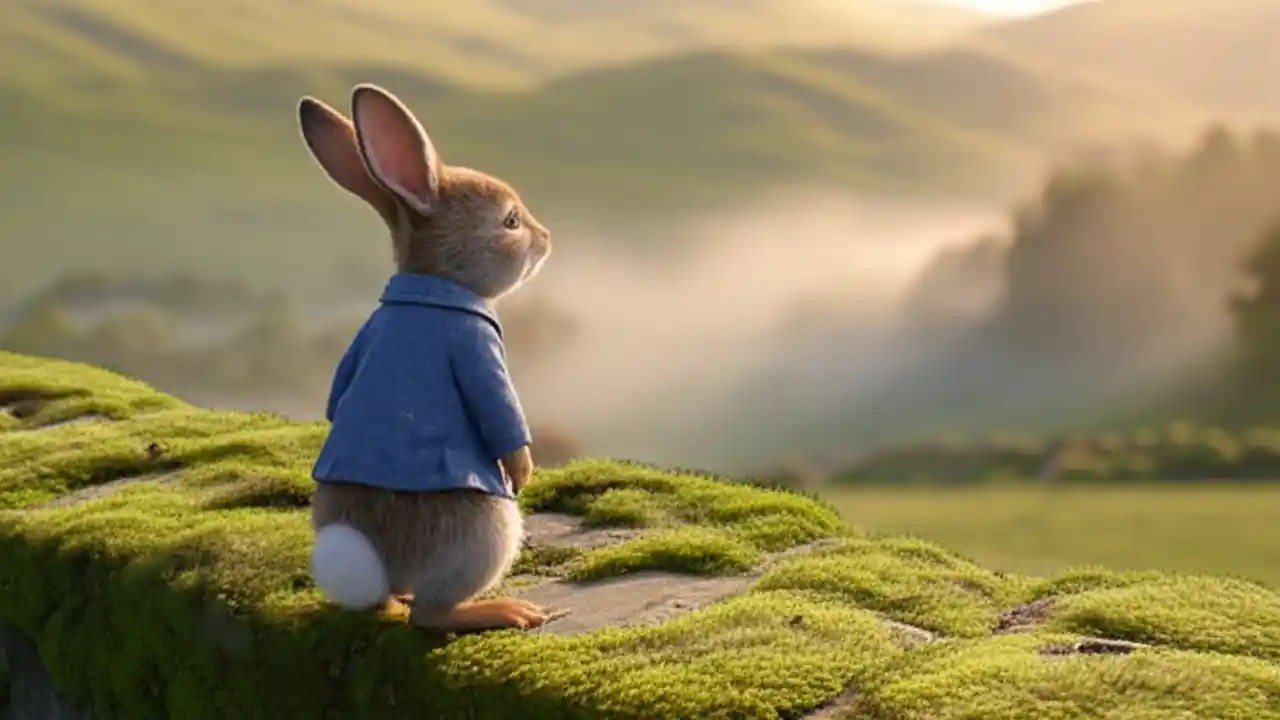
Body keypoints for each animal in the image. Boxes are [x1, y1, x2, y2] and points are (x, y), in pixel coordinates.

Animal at [298, 84, 553, 632]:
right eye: (510, 221)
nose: (547, 238)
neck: (434, 284)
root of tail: (373, 566)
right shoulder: (479, 350)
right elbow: (502, 417)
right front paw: (524, 471)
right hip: (490, 529)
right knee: (430, 616)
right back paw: (503, 610)